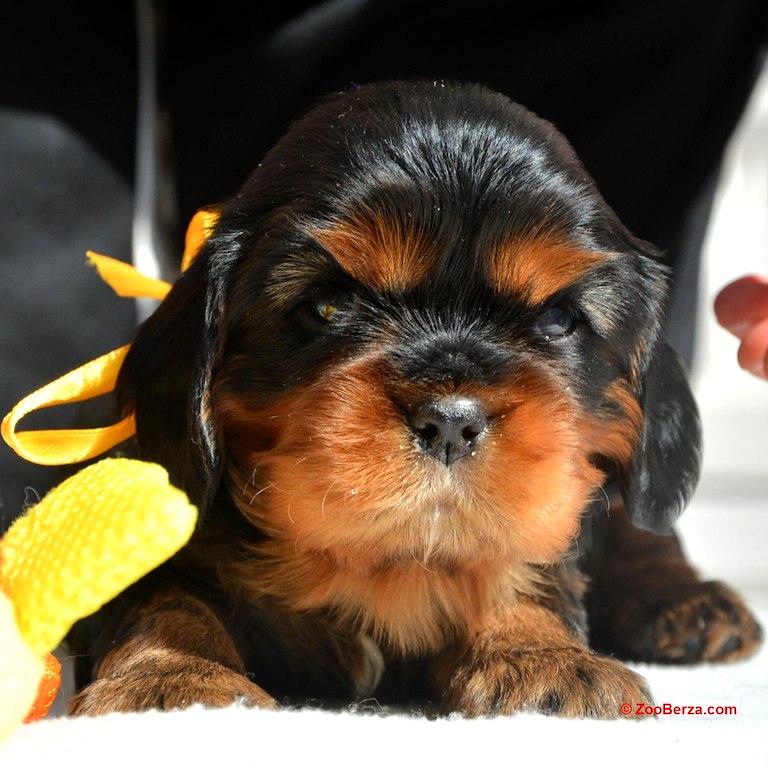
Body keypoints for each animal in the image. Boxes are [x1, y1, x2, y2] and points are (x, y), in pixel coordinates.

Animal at [67, 81, 760, 716]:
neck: (388, 564)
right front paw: (176, 680)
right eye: (329, 306)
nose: (451, 422)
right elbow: (162, 598)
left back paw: (692, 605)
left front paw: (541, 656)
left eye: (559, 320)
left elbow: (517, 569)